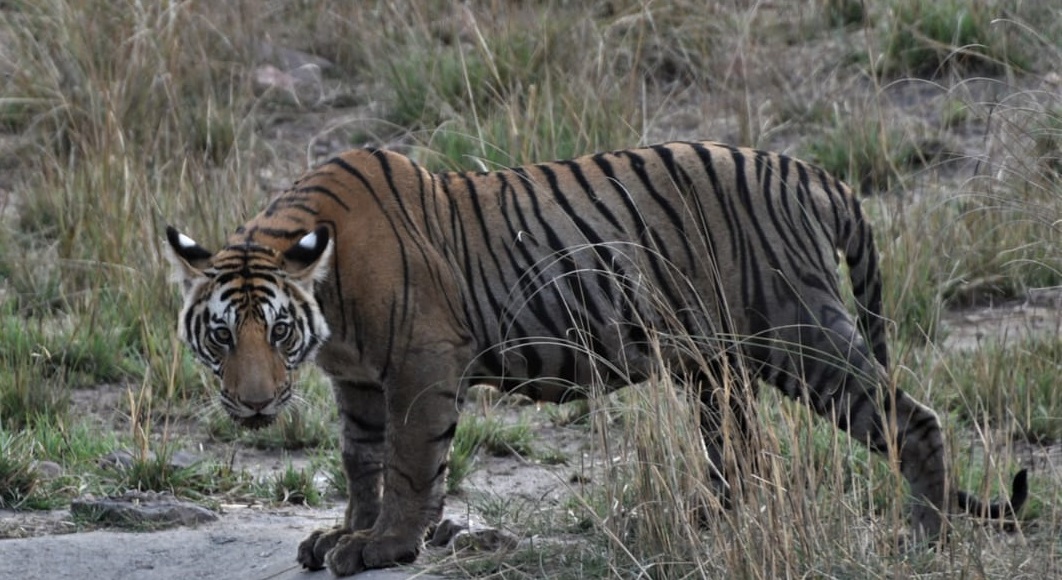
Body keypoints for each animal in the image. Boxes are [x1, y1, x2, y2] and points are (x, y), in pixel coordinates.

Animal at [165, 141, 1027, 576]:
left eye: (277, 332)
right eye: (222, 335)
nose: (253, 403)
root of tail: (816, 174)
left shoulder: (419, 366)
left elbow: (410, 465)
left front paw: (385, 546)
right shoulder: (357, 382)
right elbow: (359, 464)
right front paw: (343, 532)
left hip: (796, 331)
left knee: (908, 419)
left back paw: (921, 540)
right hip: (712, 359)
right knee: (742, 454)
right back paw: (691, 523)